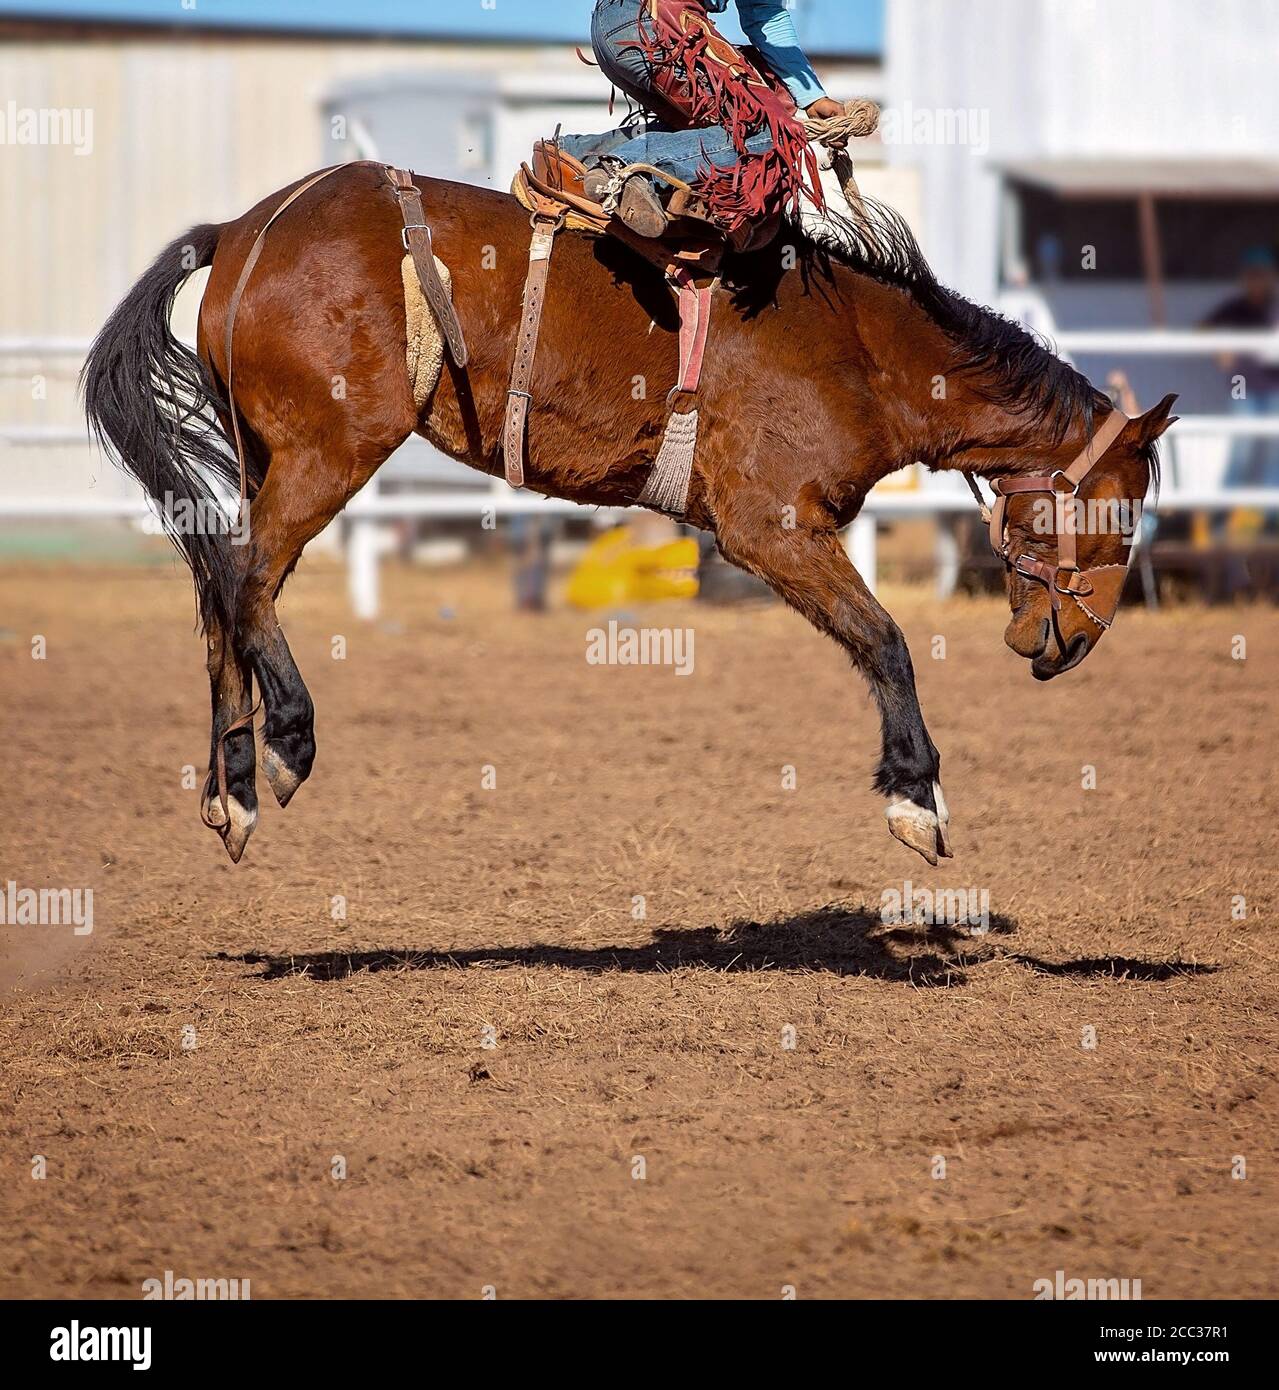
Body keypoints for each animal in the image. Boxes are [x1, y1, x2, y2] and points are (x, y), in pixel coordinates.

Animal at [82, 161, 1175, 865]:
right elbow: (885, 641)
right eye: (1123, 511)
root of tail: (241, 232)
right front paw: (917, 797)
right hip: (324, 454)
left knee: (224, 596)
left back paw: (231, 793)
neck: (862, 348)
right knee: (245, 580)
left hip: (273, 457)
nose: (1076, 640)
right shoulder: (769, 526)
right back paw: (288, 743)